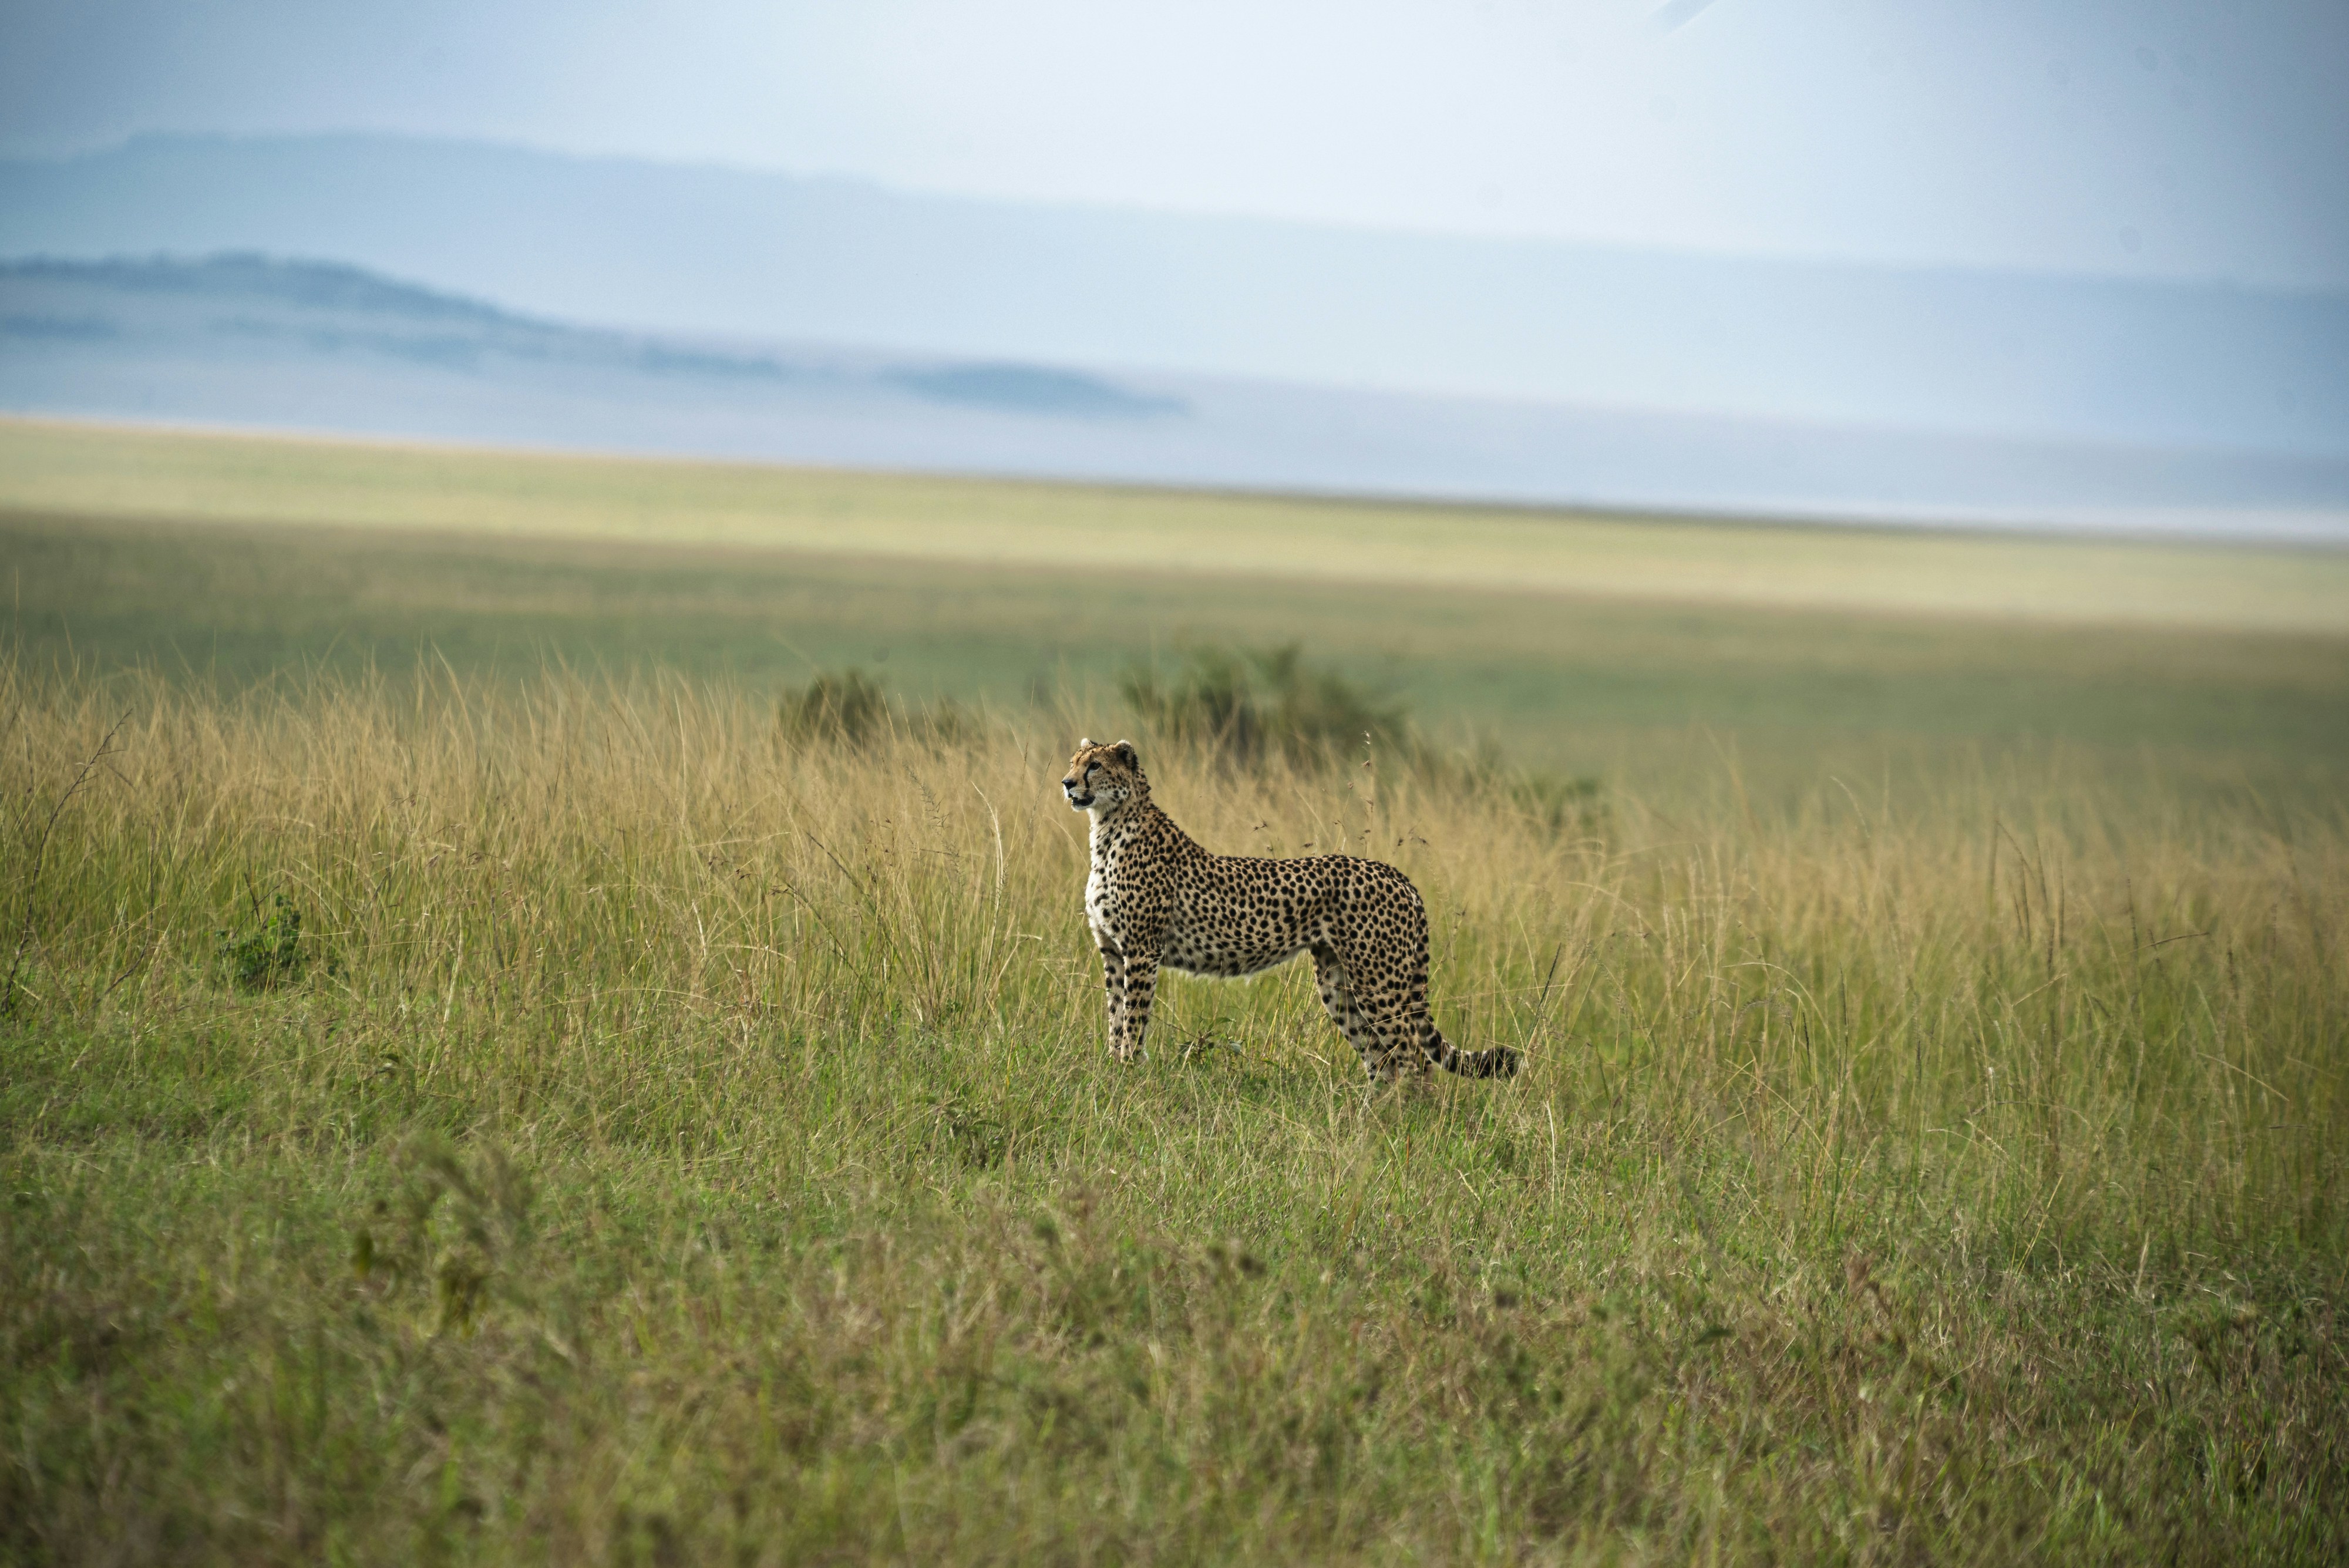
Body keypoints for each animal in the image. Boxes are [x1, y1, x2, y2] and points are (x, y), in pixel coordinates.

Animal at [1062, 737, 1519, 1081]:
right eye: (1073, 762)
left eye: (1095, 766)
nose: (1066, 783)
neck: (1108, 827)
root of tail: (1396, 874)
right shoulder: (1113, 951)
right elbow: (1115, 1014)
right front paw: (1112, 1069)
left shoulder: (1142, 950)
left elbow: (1133, 1019)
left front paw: (1128, 1073)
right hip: (1339, 980)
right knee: (1382, 1060)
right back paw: (1370, 1124)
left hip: (1379, 981)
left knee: (1413, 1061)